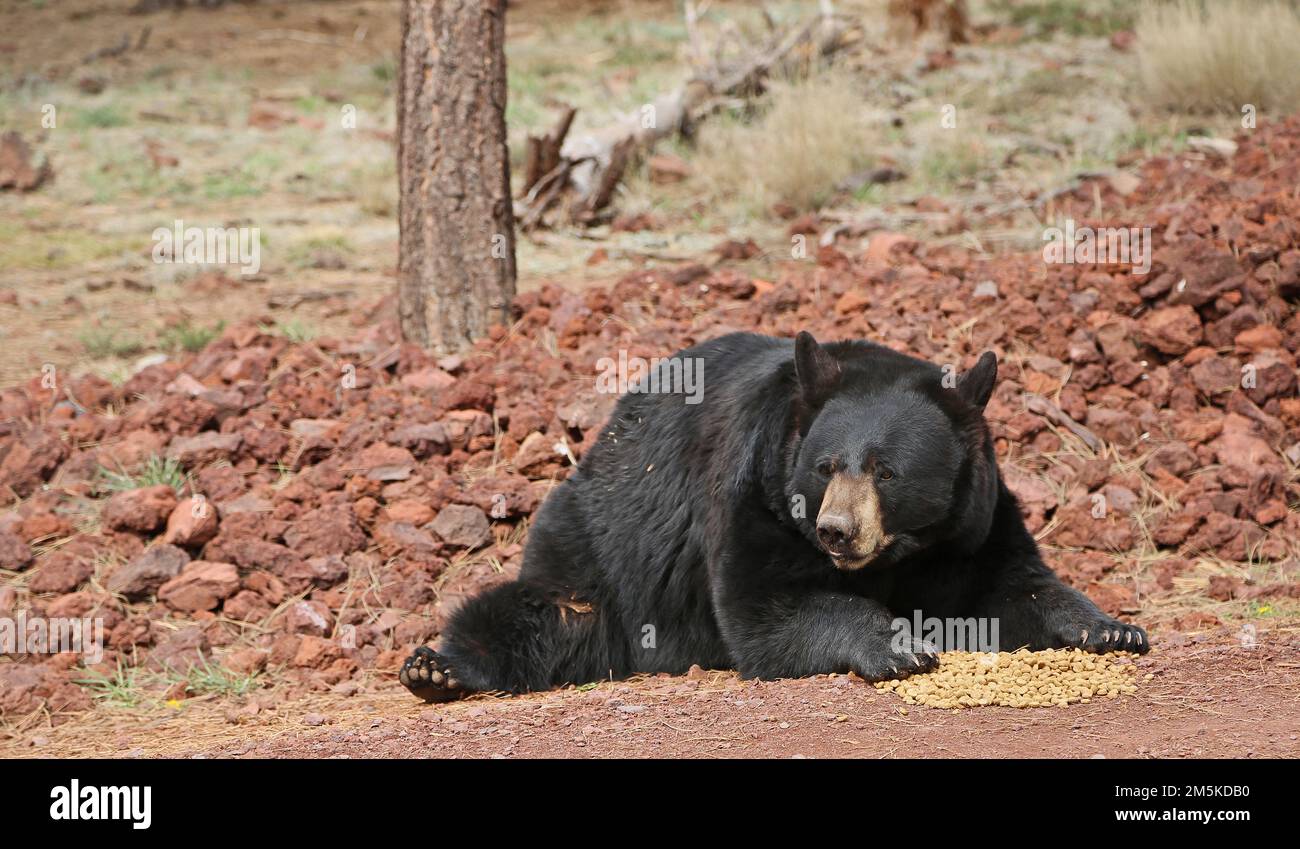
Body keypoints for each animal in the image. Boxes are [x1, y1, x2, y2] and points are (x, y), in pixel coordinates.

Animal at [399, 331, 1147, 701]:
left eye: (887, 470)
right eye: (824, 466)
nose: (836, 531)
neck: (900, 553)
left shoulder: (972, 521)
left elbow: (1012, 584)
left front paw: (1113, 629)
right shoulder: (755, 498)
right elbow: (766, 609)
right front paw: (898, 643)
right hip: (595, 546)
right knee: (545, 615)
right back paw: (437, 669)